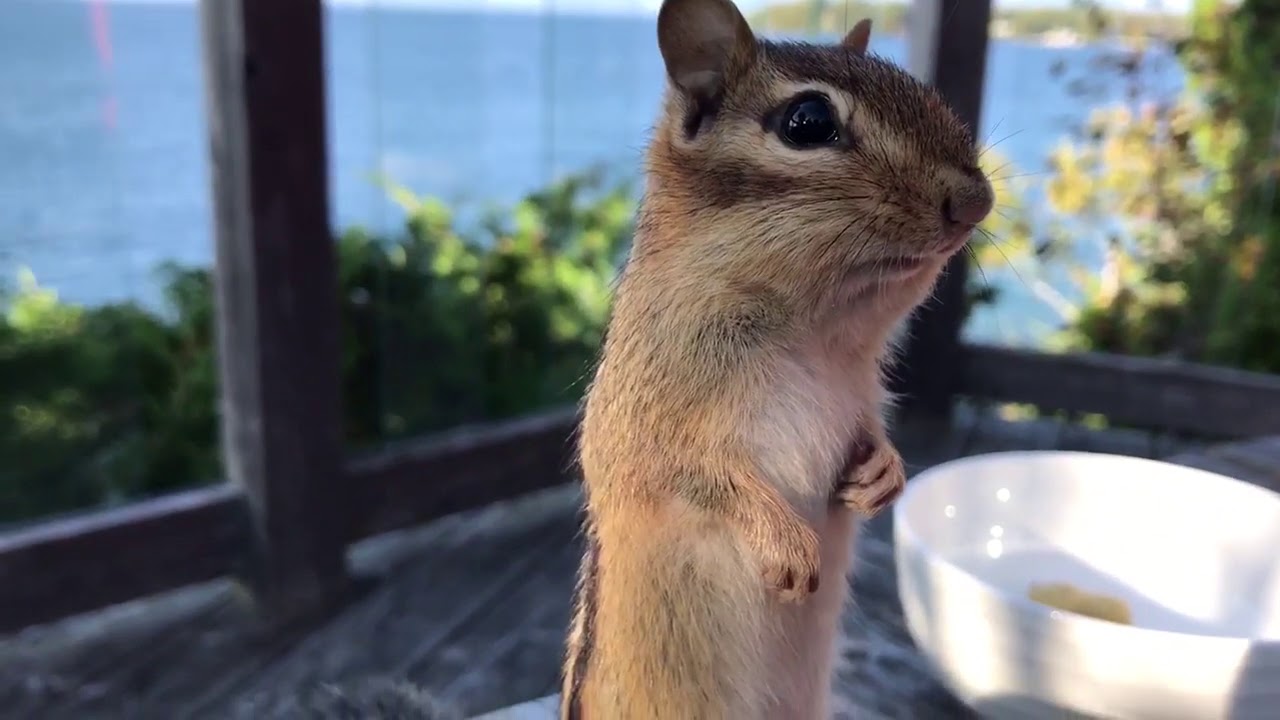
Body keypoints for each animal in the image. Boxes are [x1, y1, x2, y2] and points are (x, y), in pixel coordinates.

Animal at [560, 1, 994, 718]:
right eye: (808, 121)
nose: (976, 202)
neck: (810, 334)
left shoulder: (860, 396)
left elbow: (873, 437)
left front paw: (883, 475)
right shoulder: (645, 428)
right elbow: (699, 479)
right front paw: (786, 546)